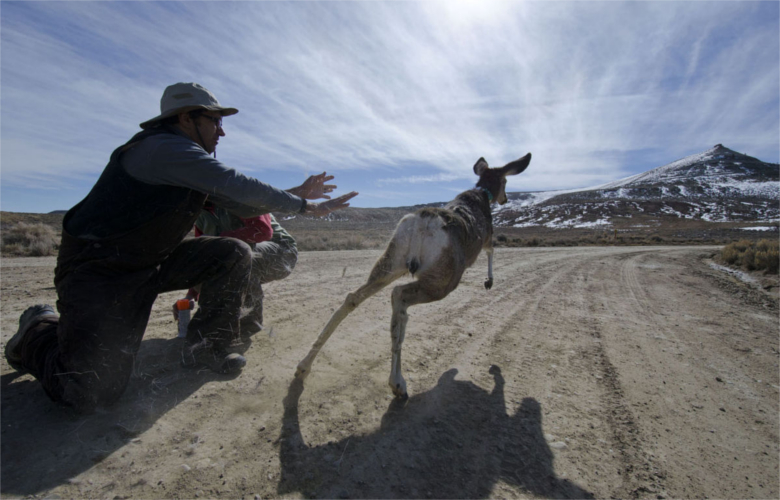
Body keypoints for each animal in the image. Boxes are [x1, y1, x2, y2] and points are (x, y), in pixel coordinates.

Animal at [294, 153, 532, 399]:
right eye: (506, 182)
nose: (505, 199)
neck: (482, 195)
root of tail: (423, 222)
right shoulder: (487, 237)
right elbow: (492, 250)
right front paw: (489, 281)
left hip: (390, 263)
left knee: (354, 297)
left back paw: (304, 366)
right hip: (443, 281)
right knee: (399, 297)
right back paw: (397, 383)